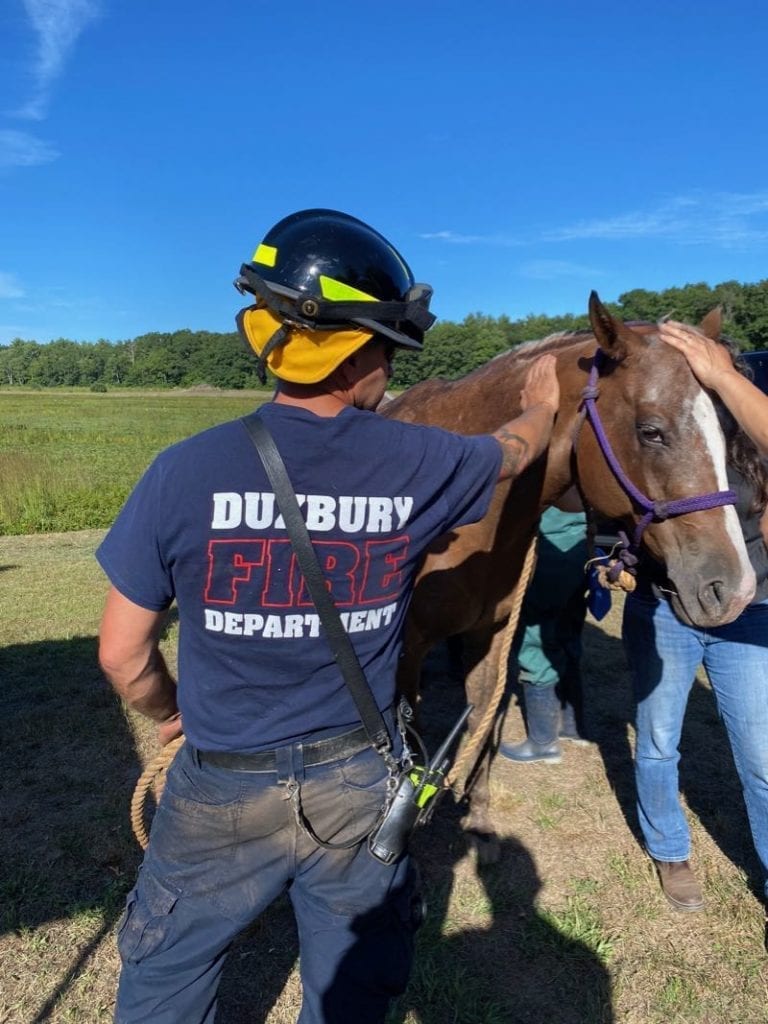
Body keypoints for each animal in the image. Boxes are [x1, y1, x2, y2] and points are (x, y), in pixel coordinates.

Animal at [382, 291, 756, 857]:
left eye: (726, 429)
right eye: (650, 431)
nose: (732, 589)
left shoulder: (492, 635)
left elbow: (483, 719)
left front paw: (479, 818)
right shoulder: (406, 651)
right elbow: (414, 746)